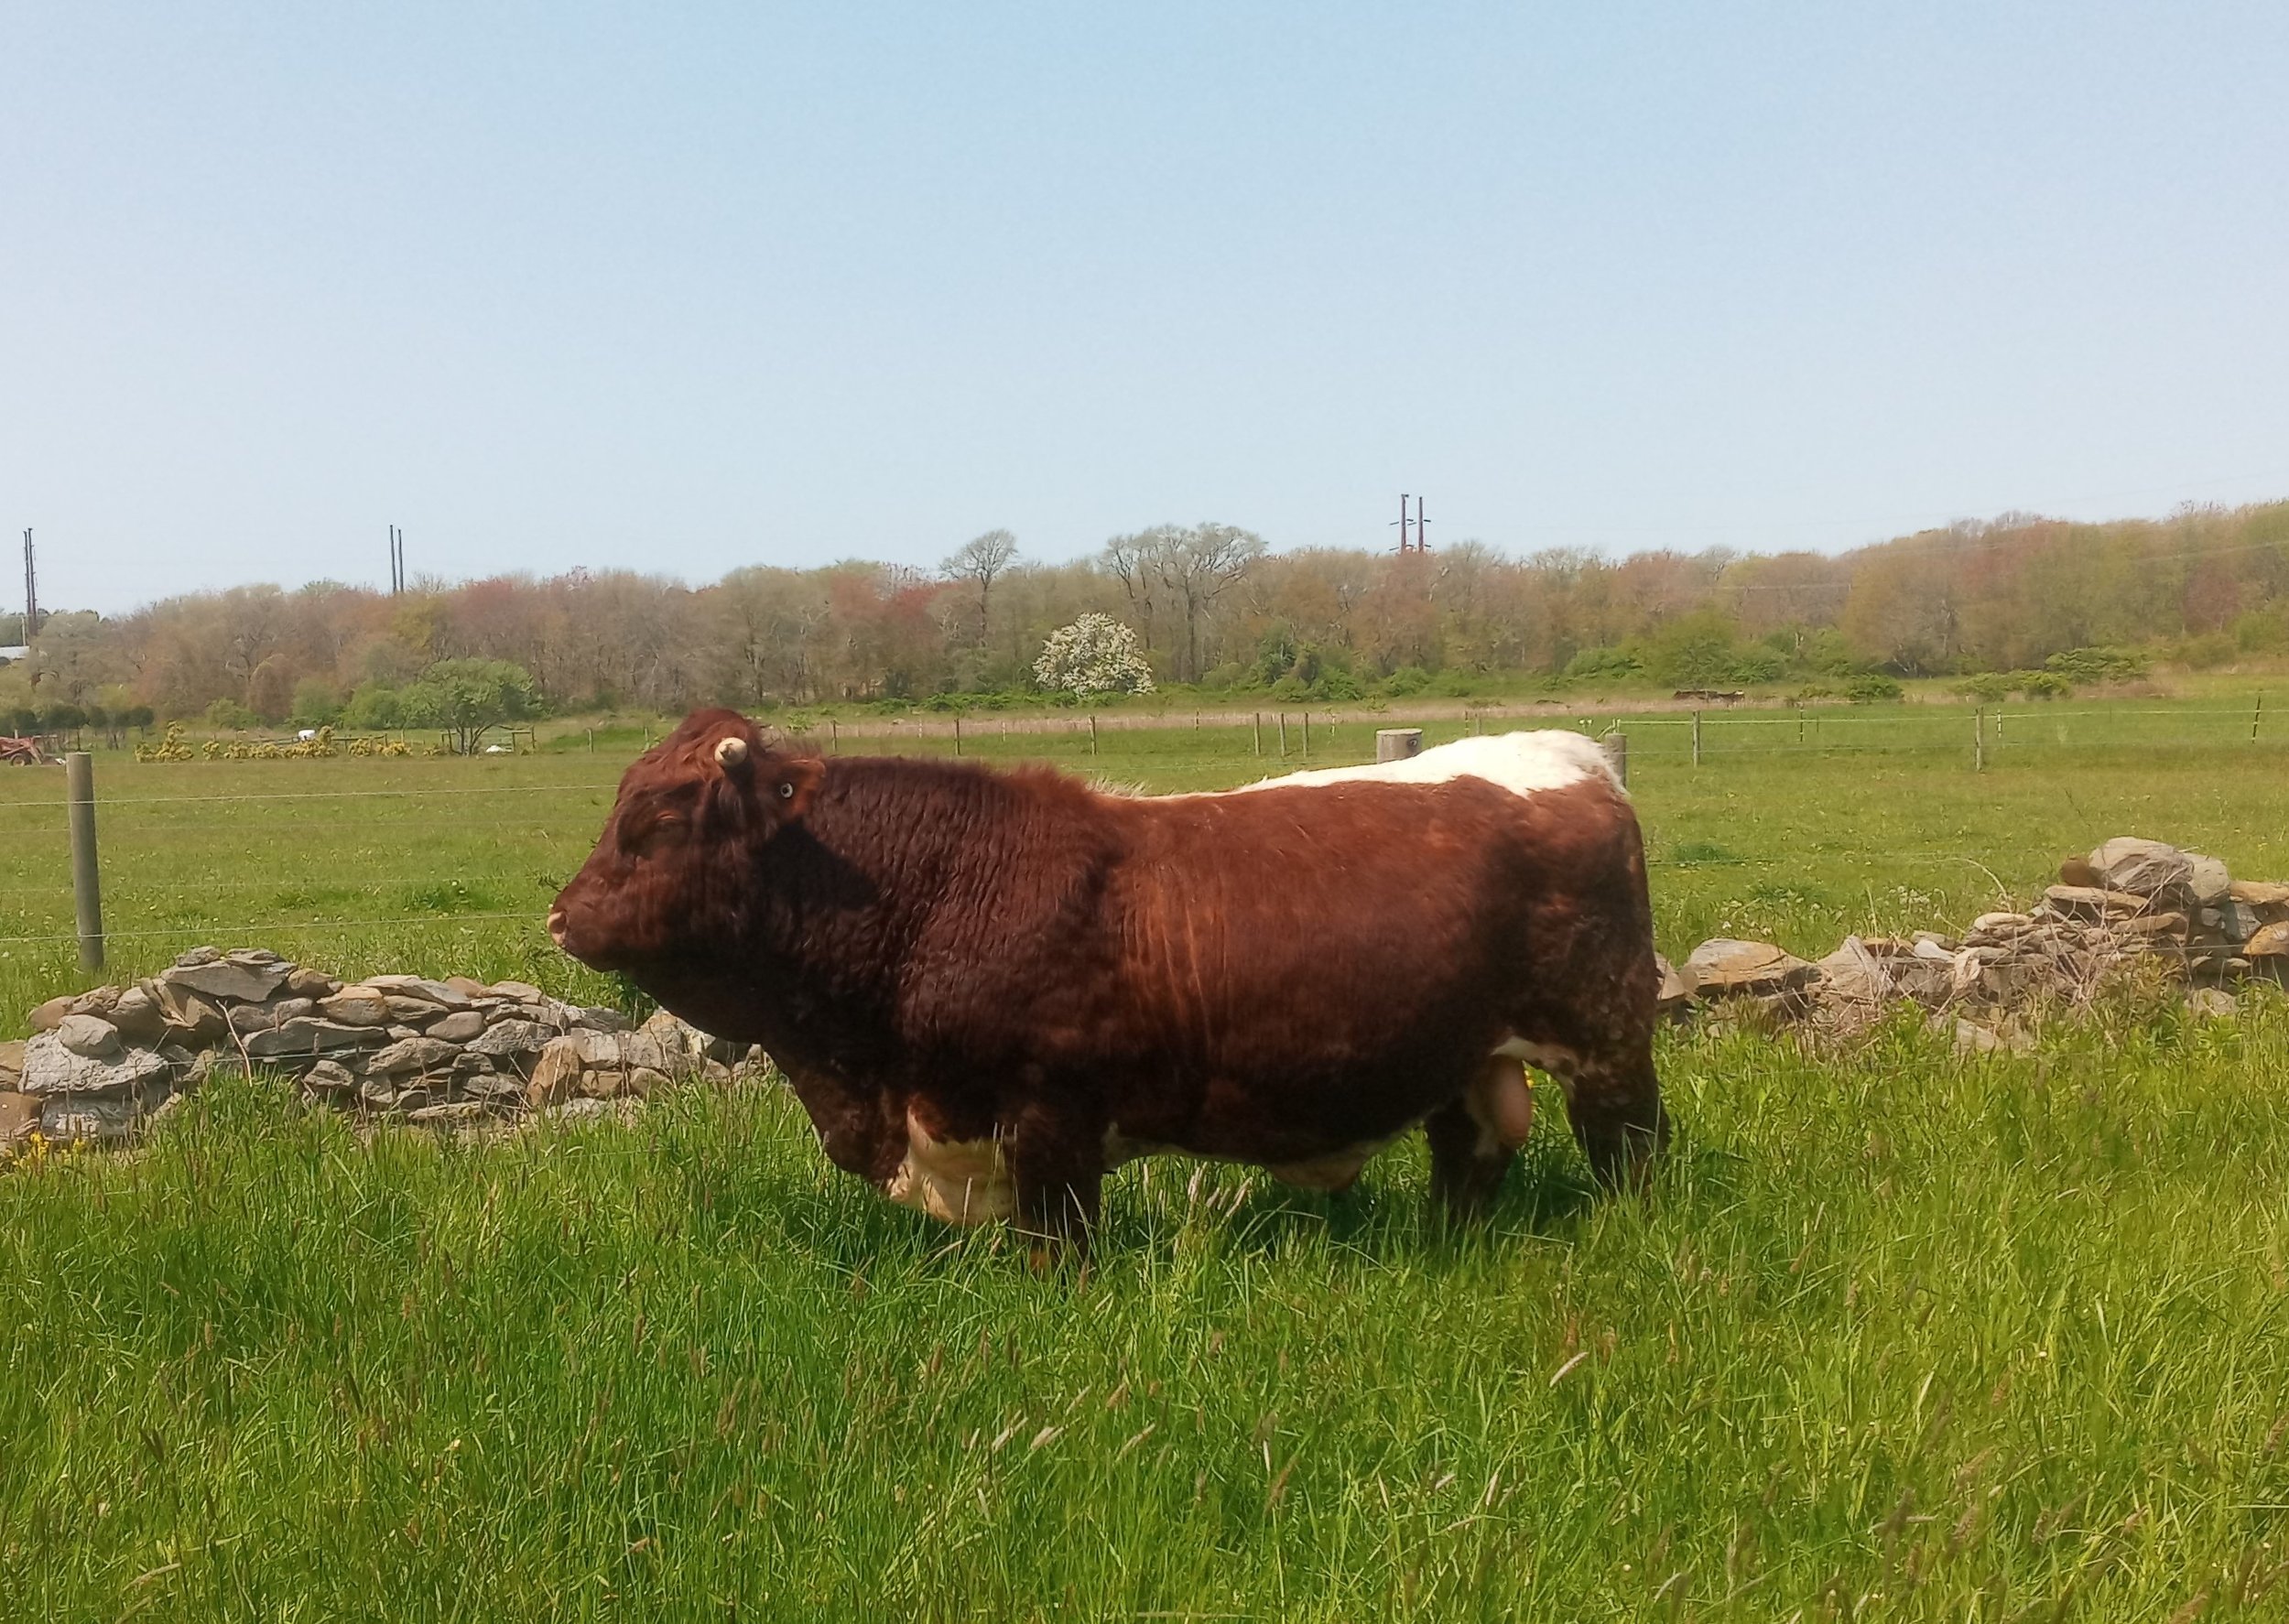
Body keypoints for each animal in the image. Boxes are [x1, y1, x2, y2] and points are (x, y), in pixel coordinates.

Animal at [549, 709, 1665, 1255]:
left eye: (658, 822)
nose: (561, 914)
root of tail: (1572, 755)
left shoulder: (1052, 1112)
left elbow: (1059, 1245)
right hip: (1468, 1057)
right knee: (1470, 1149)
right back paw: (1446, 1241)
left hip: (1608, 1040)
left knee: (1629, 1148)